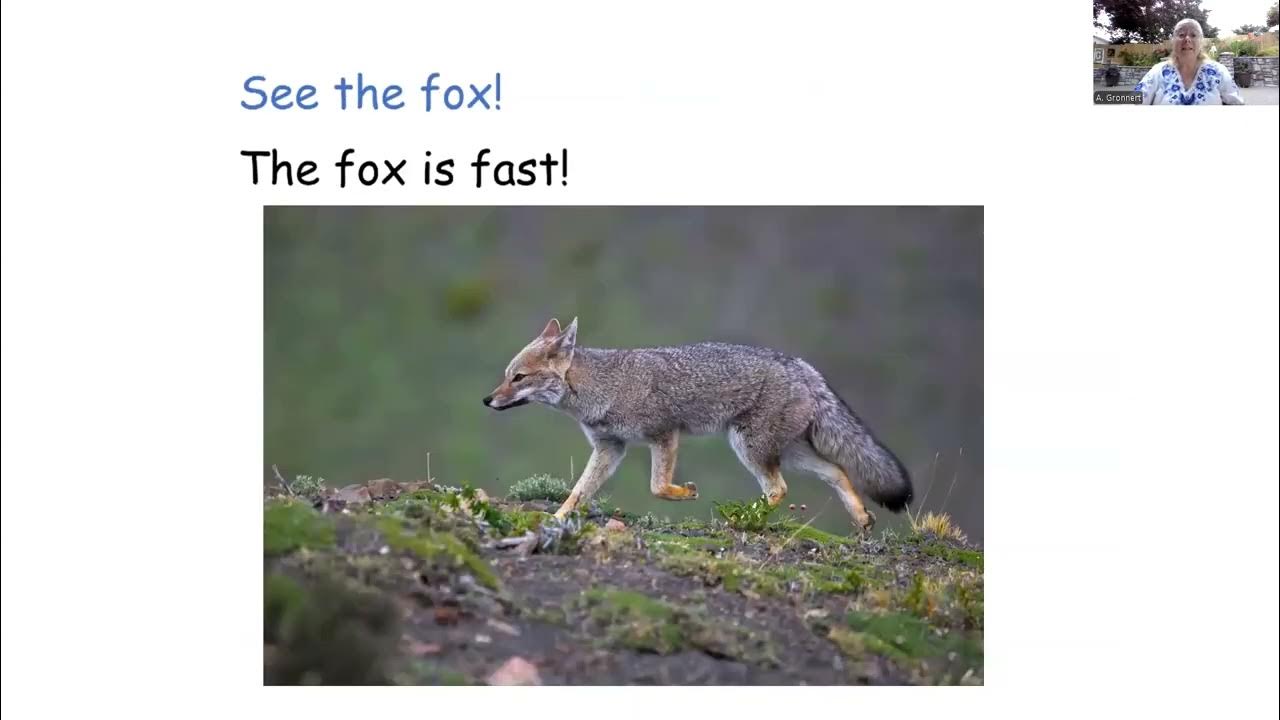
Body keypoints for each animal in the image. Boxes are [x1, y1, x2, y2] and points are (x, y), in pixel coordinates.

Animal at [482, 317, 913, 534]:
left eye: (518, 378)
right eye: (505, 376)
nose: (487, 400)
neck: (602, 386)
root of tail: (805, 369)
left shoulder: (664, 434)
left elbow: (657, 487)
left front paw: (685, 492)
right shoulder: (610, 447)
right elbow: (578, 492)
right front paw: (556, 519)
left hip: (749, 447)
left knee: (778, 489)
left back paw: (742, 517)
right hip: (788, 452)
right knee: (837, 471)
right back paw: (861, 518)